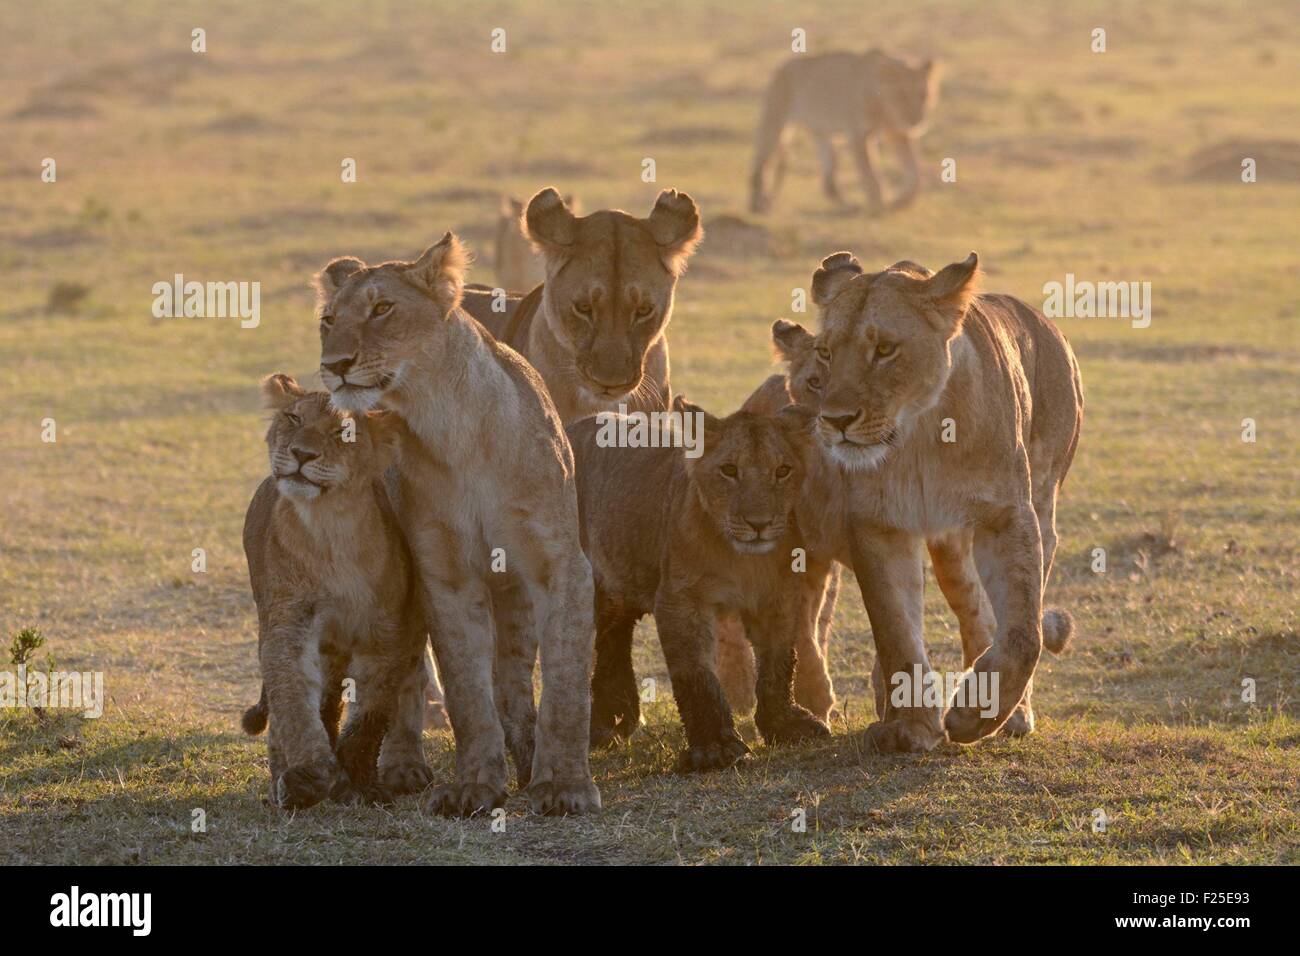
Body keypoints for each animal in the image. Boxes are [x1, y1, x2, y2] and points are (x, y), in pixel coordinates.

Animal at [241, 374, 431, 809]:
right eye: (293, 418)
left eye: (343, 432)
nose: (301, 453)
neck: (331, 529)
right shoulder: (288, 624)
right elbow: (294, 701)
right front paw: (309, 773)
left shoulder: (387, 633)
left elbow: (372, 715)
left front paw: (360, 781)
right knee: (314, 700)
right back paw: (284, 781)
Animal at [315, 233, 600, 816]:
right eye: (328, 320)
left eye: (382, 309)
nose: (334, 364)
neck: (449, 424)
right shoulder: (442, 576)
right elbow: (466, 688)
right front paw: (476, 785)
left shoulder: (560, 565)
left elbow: (564, 683)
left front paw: (564, 784)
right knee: (406, 678)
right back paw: (402, 765)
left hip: (513, 594)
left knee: (512, 676)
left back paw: (526, 749)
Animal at [568, 399, 831, 771]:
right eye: (729, 470)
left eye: (782, 471)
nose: (759, 524)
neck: (742, 559)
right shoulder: (680, 600)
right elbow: (696, 675)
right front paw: (715, 748)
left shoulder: (778, 598)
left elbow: (779, 664)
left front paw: (785, 725)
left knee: (613, 636)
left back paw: (612, 719)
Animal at [749, 49, 940, 214]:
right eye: (901, 94)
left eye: (923, 94)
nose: (916, 119)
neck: (884, 109)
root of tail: (782, 66)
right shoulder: (858, 135)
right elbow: (871, 175)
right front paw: (879, 206)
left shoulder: (898, 134)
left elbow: (915, 174)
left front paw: (900, 203)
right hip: (775, 122)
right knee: (760, 164)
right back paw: (757, 206)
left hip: (822, 135)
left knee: (828, 183)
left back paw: (849, 206)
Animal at [791, 251, 1082, 752]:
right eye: (825, 353)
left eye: (885, 349)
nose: (836, 420)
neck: (919, 435)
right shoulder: (877, 525)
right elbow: (896, 632)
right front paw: (911, 727)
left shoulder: (1008, 516)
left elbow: (1023, 632)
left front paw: (976, 716)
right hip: (949, 547)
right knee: (974, 611)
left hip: (1043, 503)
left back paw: (1010, 713)